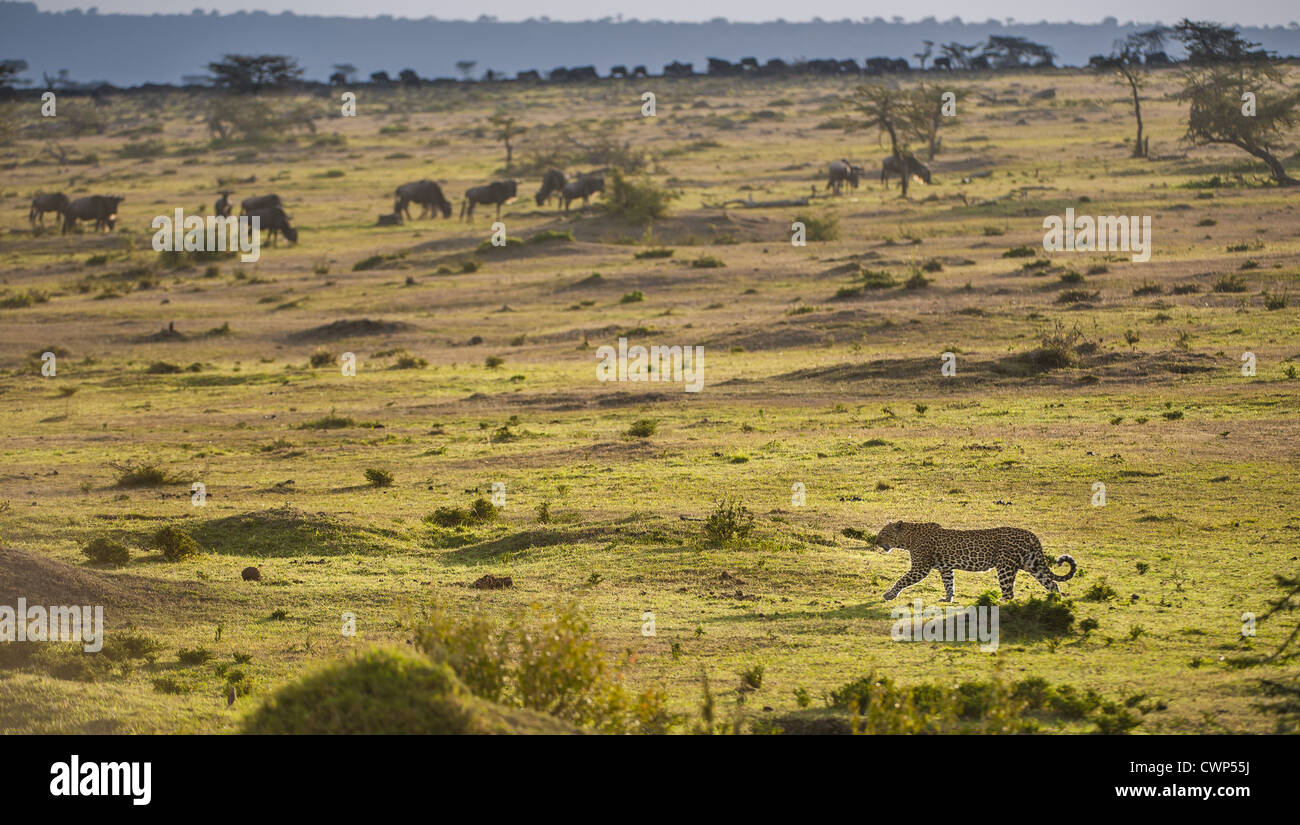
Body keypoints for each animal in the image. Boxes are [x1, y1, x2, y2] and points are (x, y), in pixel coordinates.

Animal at [874, 521, 1076, 602]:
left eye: (884, 532)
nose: (876, 542)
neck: (908, 538)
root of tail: (1031, 535)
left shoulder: (920, 568)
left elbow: (902, 580)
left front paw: (889, 595)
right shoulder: (946, 568)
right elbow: (949, 584)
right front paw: (948, 598)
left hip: (1005, 566)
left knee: (1009, 593)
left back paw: (997, 603)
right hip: (1033, 564)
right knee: (1052, 584)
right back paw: (1055, 602)